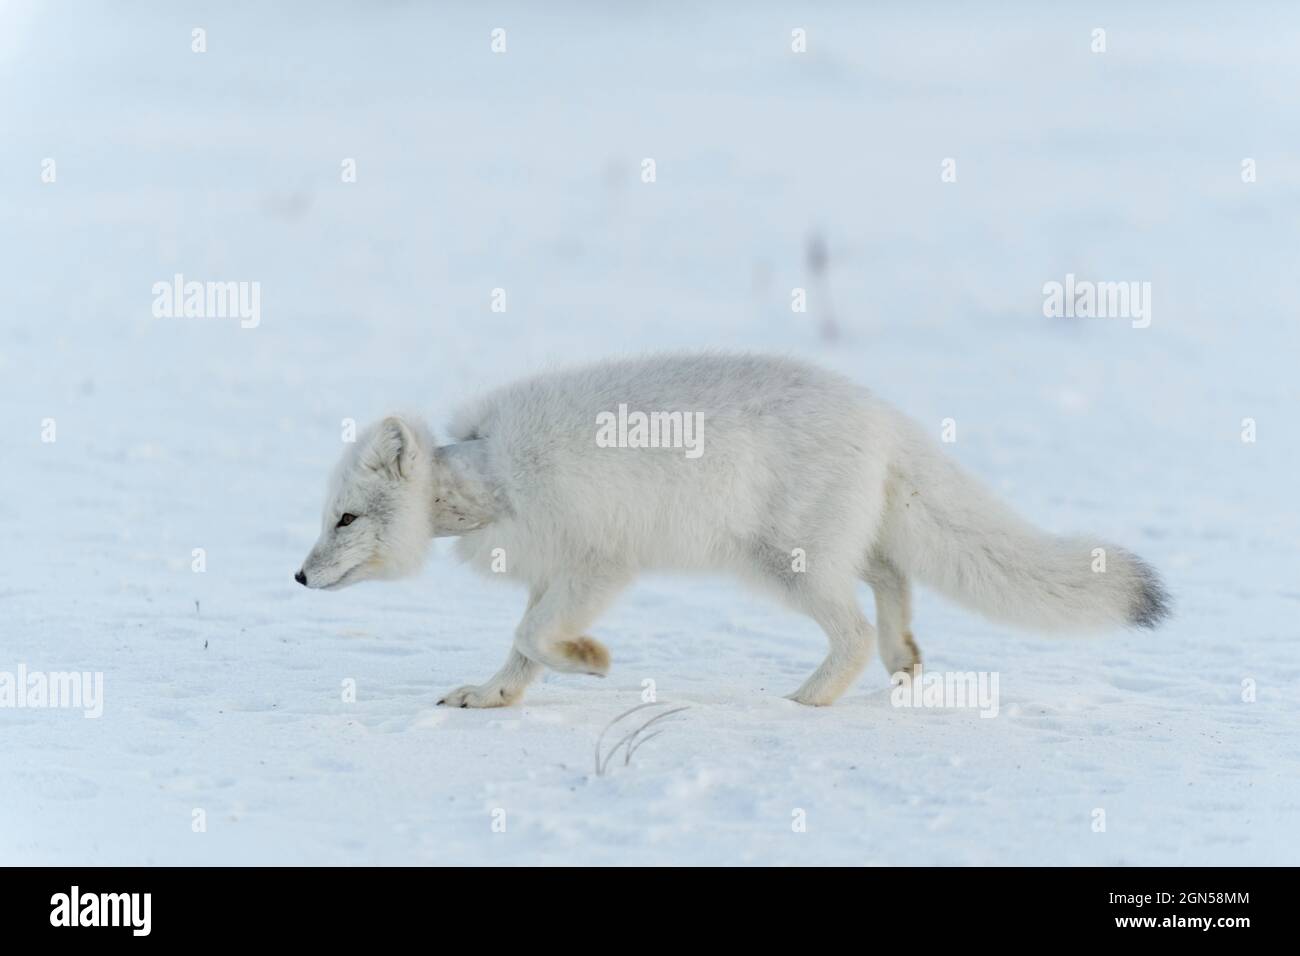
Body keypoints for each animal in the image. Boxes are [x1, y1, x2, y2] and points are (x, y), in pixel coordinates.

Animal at [295, 353, 1169, 708]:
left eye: (345, 517)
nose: (298, 578)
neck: (492, 479)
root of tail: (883, 414)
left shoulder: (598, 565)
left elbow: (535, 635)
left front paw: (592, 661)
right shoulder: (558, 573)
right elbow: (521, 649)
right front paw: (490, 697)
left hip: (786, 562)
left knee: (854, 628)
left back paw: (807, 702)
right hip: (830, 545)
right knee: (891, 578)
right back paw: (905, 658)